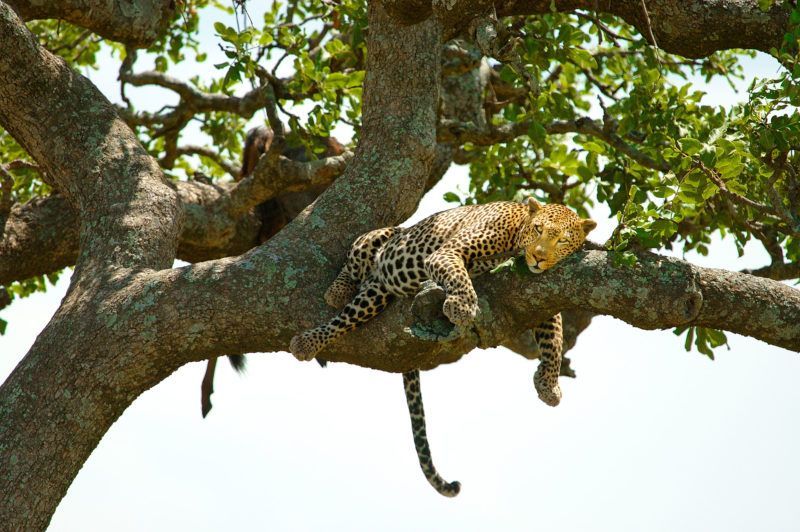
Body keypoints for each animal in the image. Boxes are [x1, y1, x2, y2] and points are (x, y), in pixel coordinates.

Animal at [290, 198, 596, 496]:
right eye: (538, 229)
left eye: (562, 240)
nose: (539, 257)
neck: (517, 233)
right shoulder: (447, 252)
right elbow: (459, 275)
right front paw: (461, 305)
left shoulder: (539, 295)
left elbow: (553, 337)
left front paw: (549, 384)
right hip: (380, 238)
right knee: (352, 264)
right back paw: (323, 313)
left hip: (376, 296)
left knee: (350, 316)